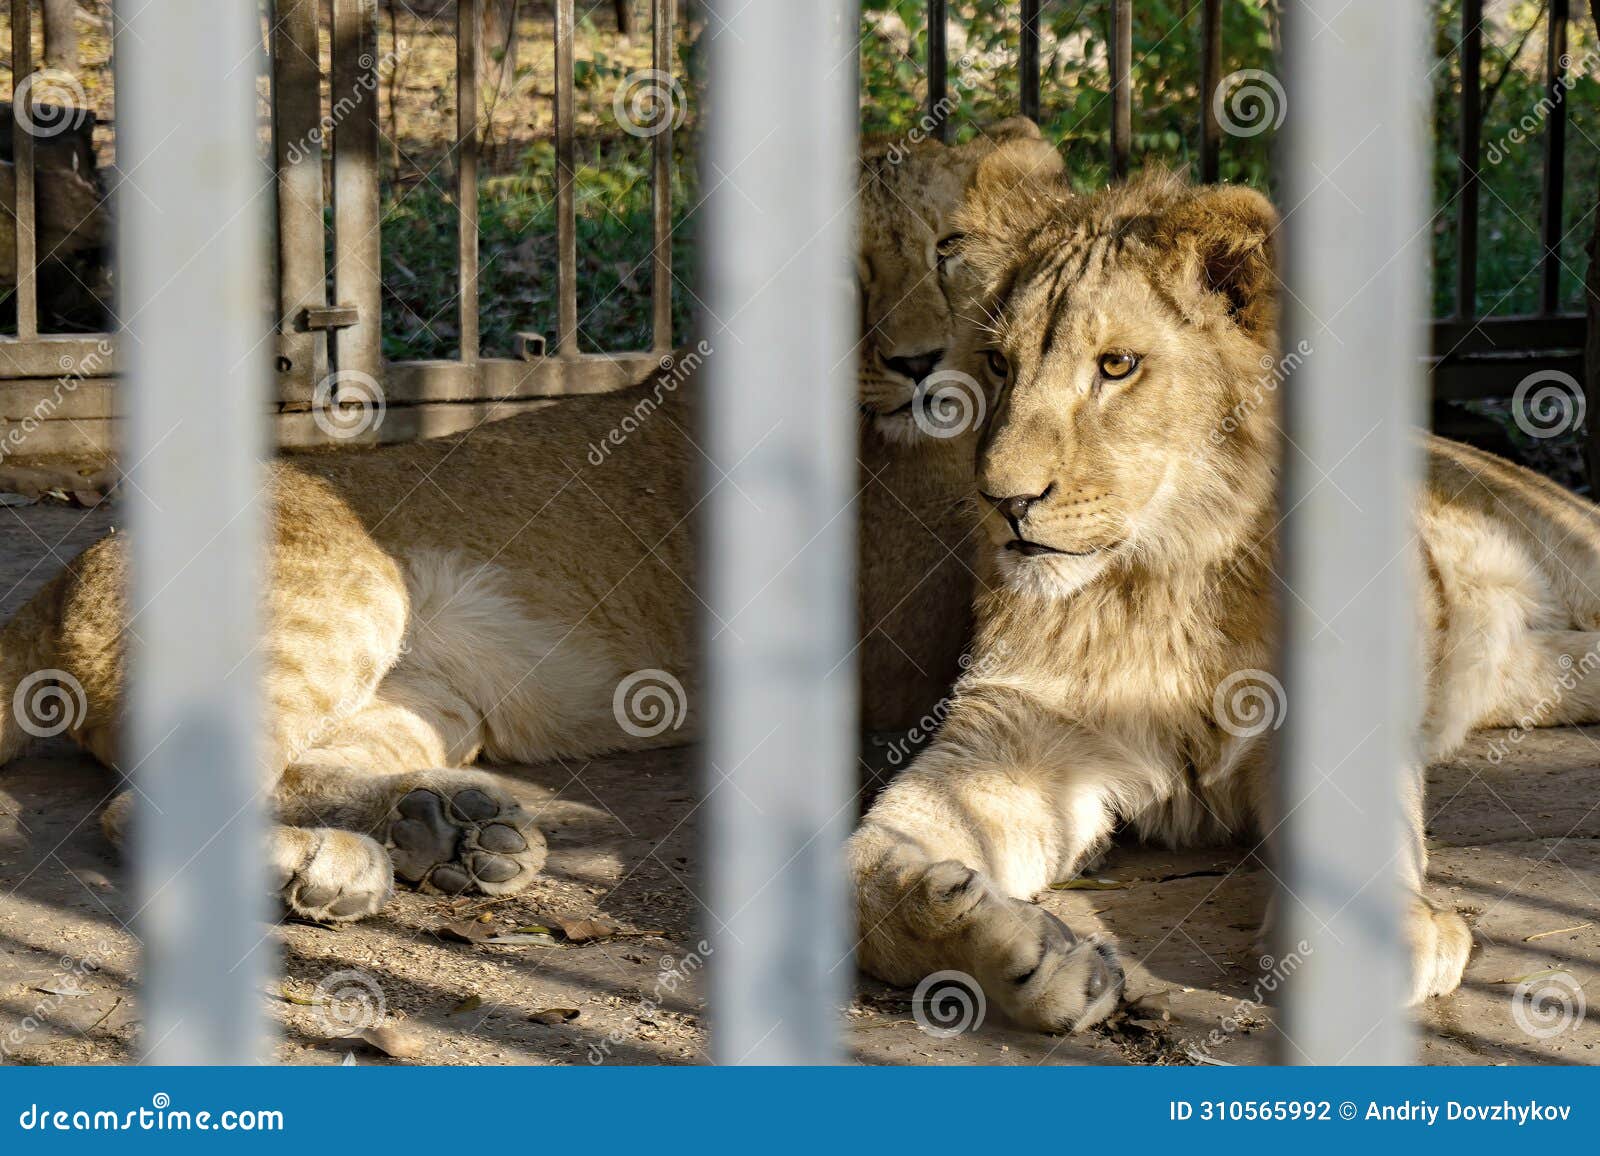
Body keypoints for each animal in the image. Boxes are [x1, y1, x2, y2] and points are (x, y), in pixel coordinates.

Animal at [0, 123, 1060, 923]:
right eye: (845, 279)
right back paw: (339, 865)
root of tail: (52, 586)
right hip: (346, 600)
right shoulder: (895, 649)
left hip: (425, 701)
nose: (919, 362)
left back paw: (454, 828)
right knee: (147, 811)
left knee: (296, 768)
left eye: (948, 250)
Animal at [848, 157, 1600, 1034]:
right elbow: (863, 874)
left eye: (1116, 366)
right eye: (998, 365)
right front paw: (1024, 961)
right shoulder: (1014, 735)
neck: (1156, 583)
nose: (1005, 500)